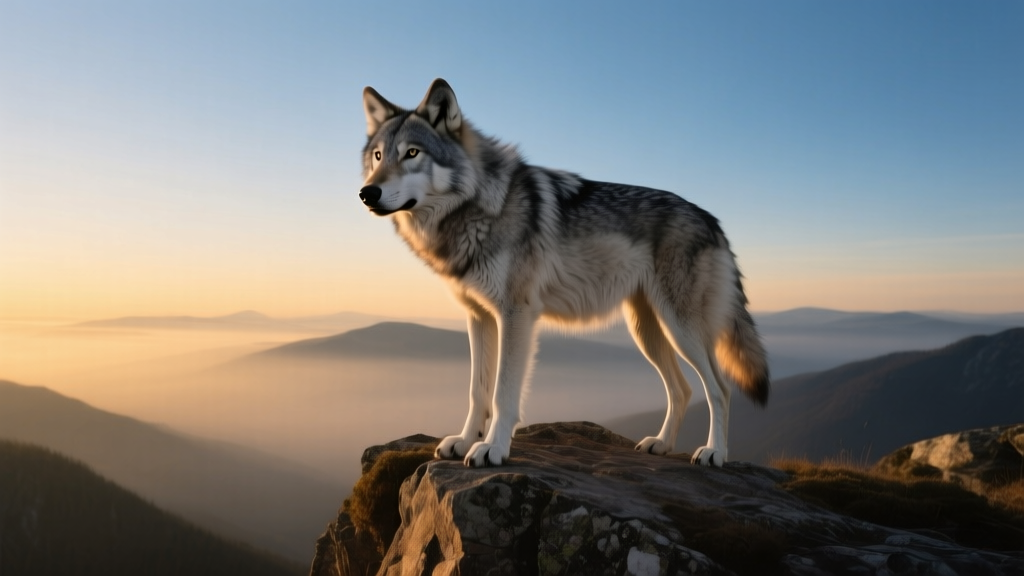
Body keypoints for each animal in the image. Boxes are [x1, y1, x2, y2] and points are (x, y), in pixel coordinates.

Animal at [358, 79, 769, 467]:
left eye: (412, 153)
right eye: (378, 156)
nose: (366, 193)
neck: (478, 205)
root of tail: (713, 221)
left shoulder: (516, 314)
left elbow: (503, 392)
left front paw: (492, 448)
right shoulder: (478, 316)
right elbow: (478, 390)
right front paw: (463, 441)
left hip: (681, 329)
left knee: (720, 389)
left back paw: (714, 453)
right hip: (647, 331)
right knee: (682, 389)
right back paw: (662, 444)